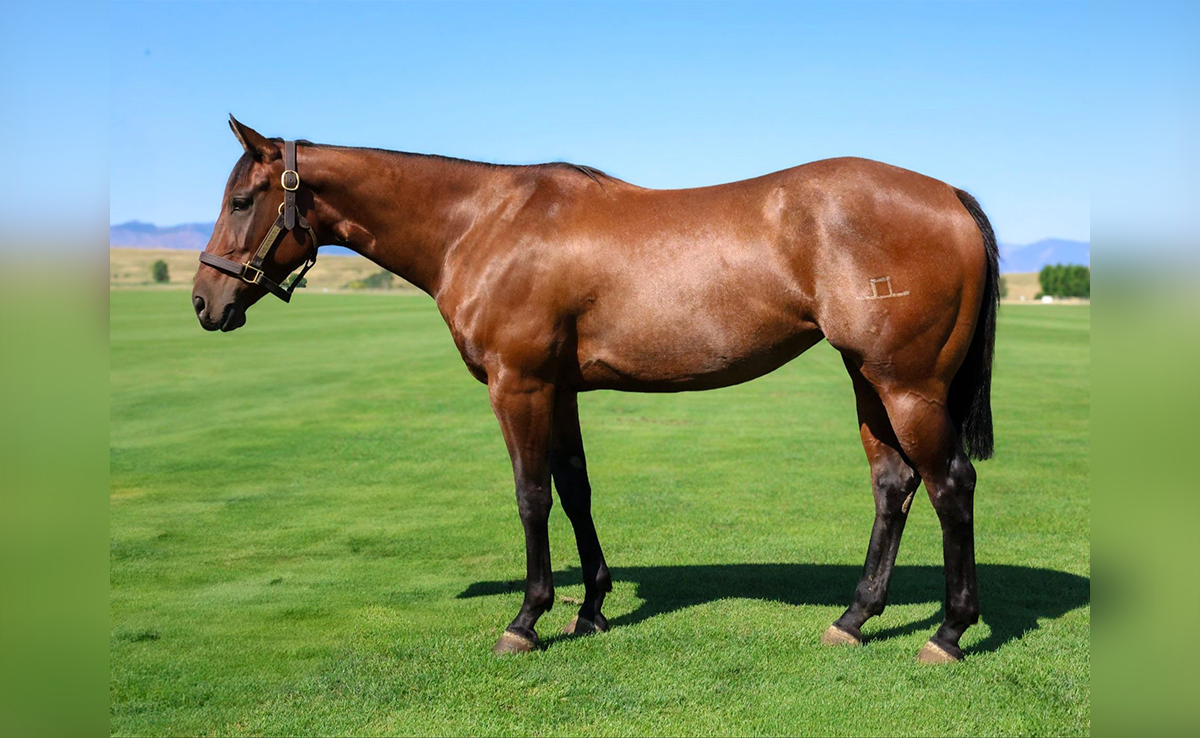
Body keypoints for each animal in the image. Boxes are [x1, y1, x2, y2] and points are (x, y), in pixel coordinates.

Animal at [193, 116, 999, 664]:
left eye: (242, 200)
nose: (205, 302)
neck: (482, 224)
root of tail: (950, 195)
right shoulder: (559, 390)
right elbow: (575, 487)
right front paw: (592, 609)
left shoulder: (517, 385)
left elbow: (531, 496)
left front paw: (527, 619)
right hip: (870, 381)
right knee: (894, 486)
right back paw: (854, 618)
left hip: (908, 386)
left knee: (950, 486)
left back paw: (950, 632)